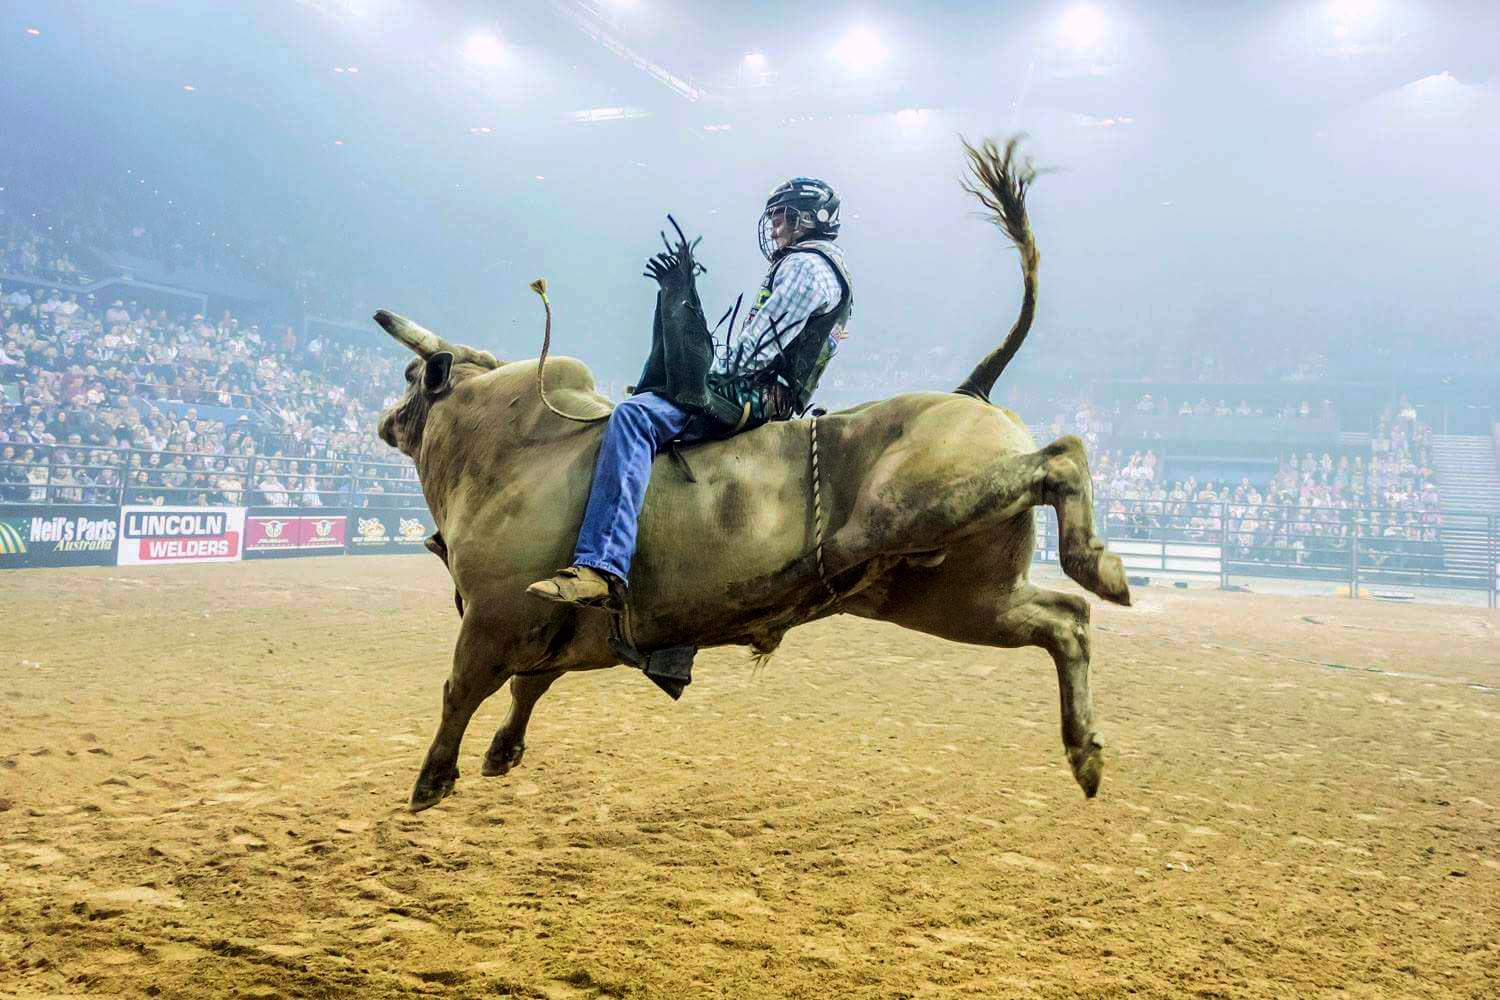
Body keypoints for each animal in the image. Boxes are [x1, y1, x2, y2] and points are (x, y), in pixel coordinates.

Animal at [374, 138, 1131, 813]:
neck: (509, 448)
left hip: (916, 507)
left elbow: (462, 688)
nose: (384, 419)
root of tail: (971, 393)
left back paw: (1099, 563)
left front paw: (432, 778)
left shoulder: (493, 617)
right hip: (955, 595)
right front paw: (503, 752)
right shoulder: (549, 636)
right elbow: (527, 687)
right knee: (1063, 620)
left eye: (411, 375)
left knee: (1061, 461)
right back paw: (1085, 750)